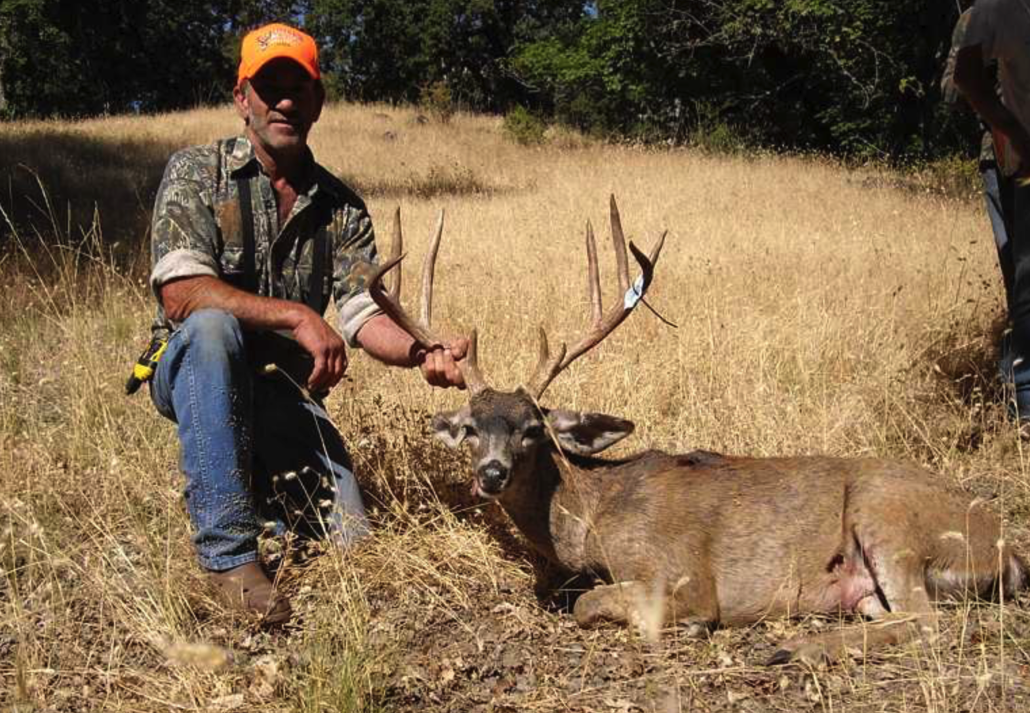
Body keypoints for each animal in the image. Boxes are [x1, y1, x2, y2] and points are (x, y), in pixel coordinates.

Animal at [366, 197, 1027, 665]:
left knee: (927, 623)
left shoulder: (681, 574)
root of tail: (1007, 547)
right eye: (471, 429)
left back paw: (797, 648)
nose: (492, 474)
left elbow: (589, 603)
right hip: (870, 579)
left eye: (534, 430)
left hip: (886, 514)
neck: (594, 514)